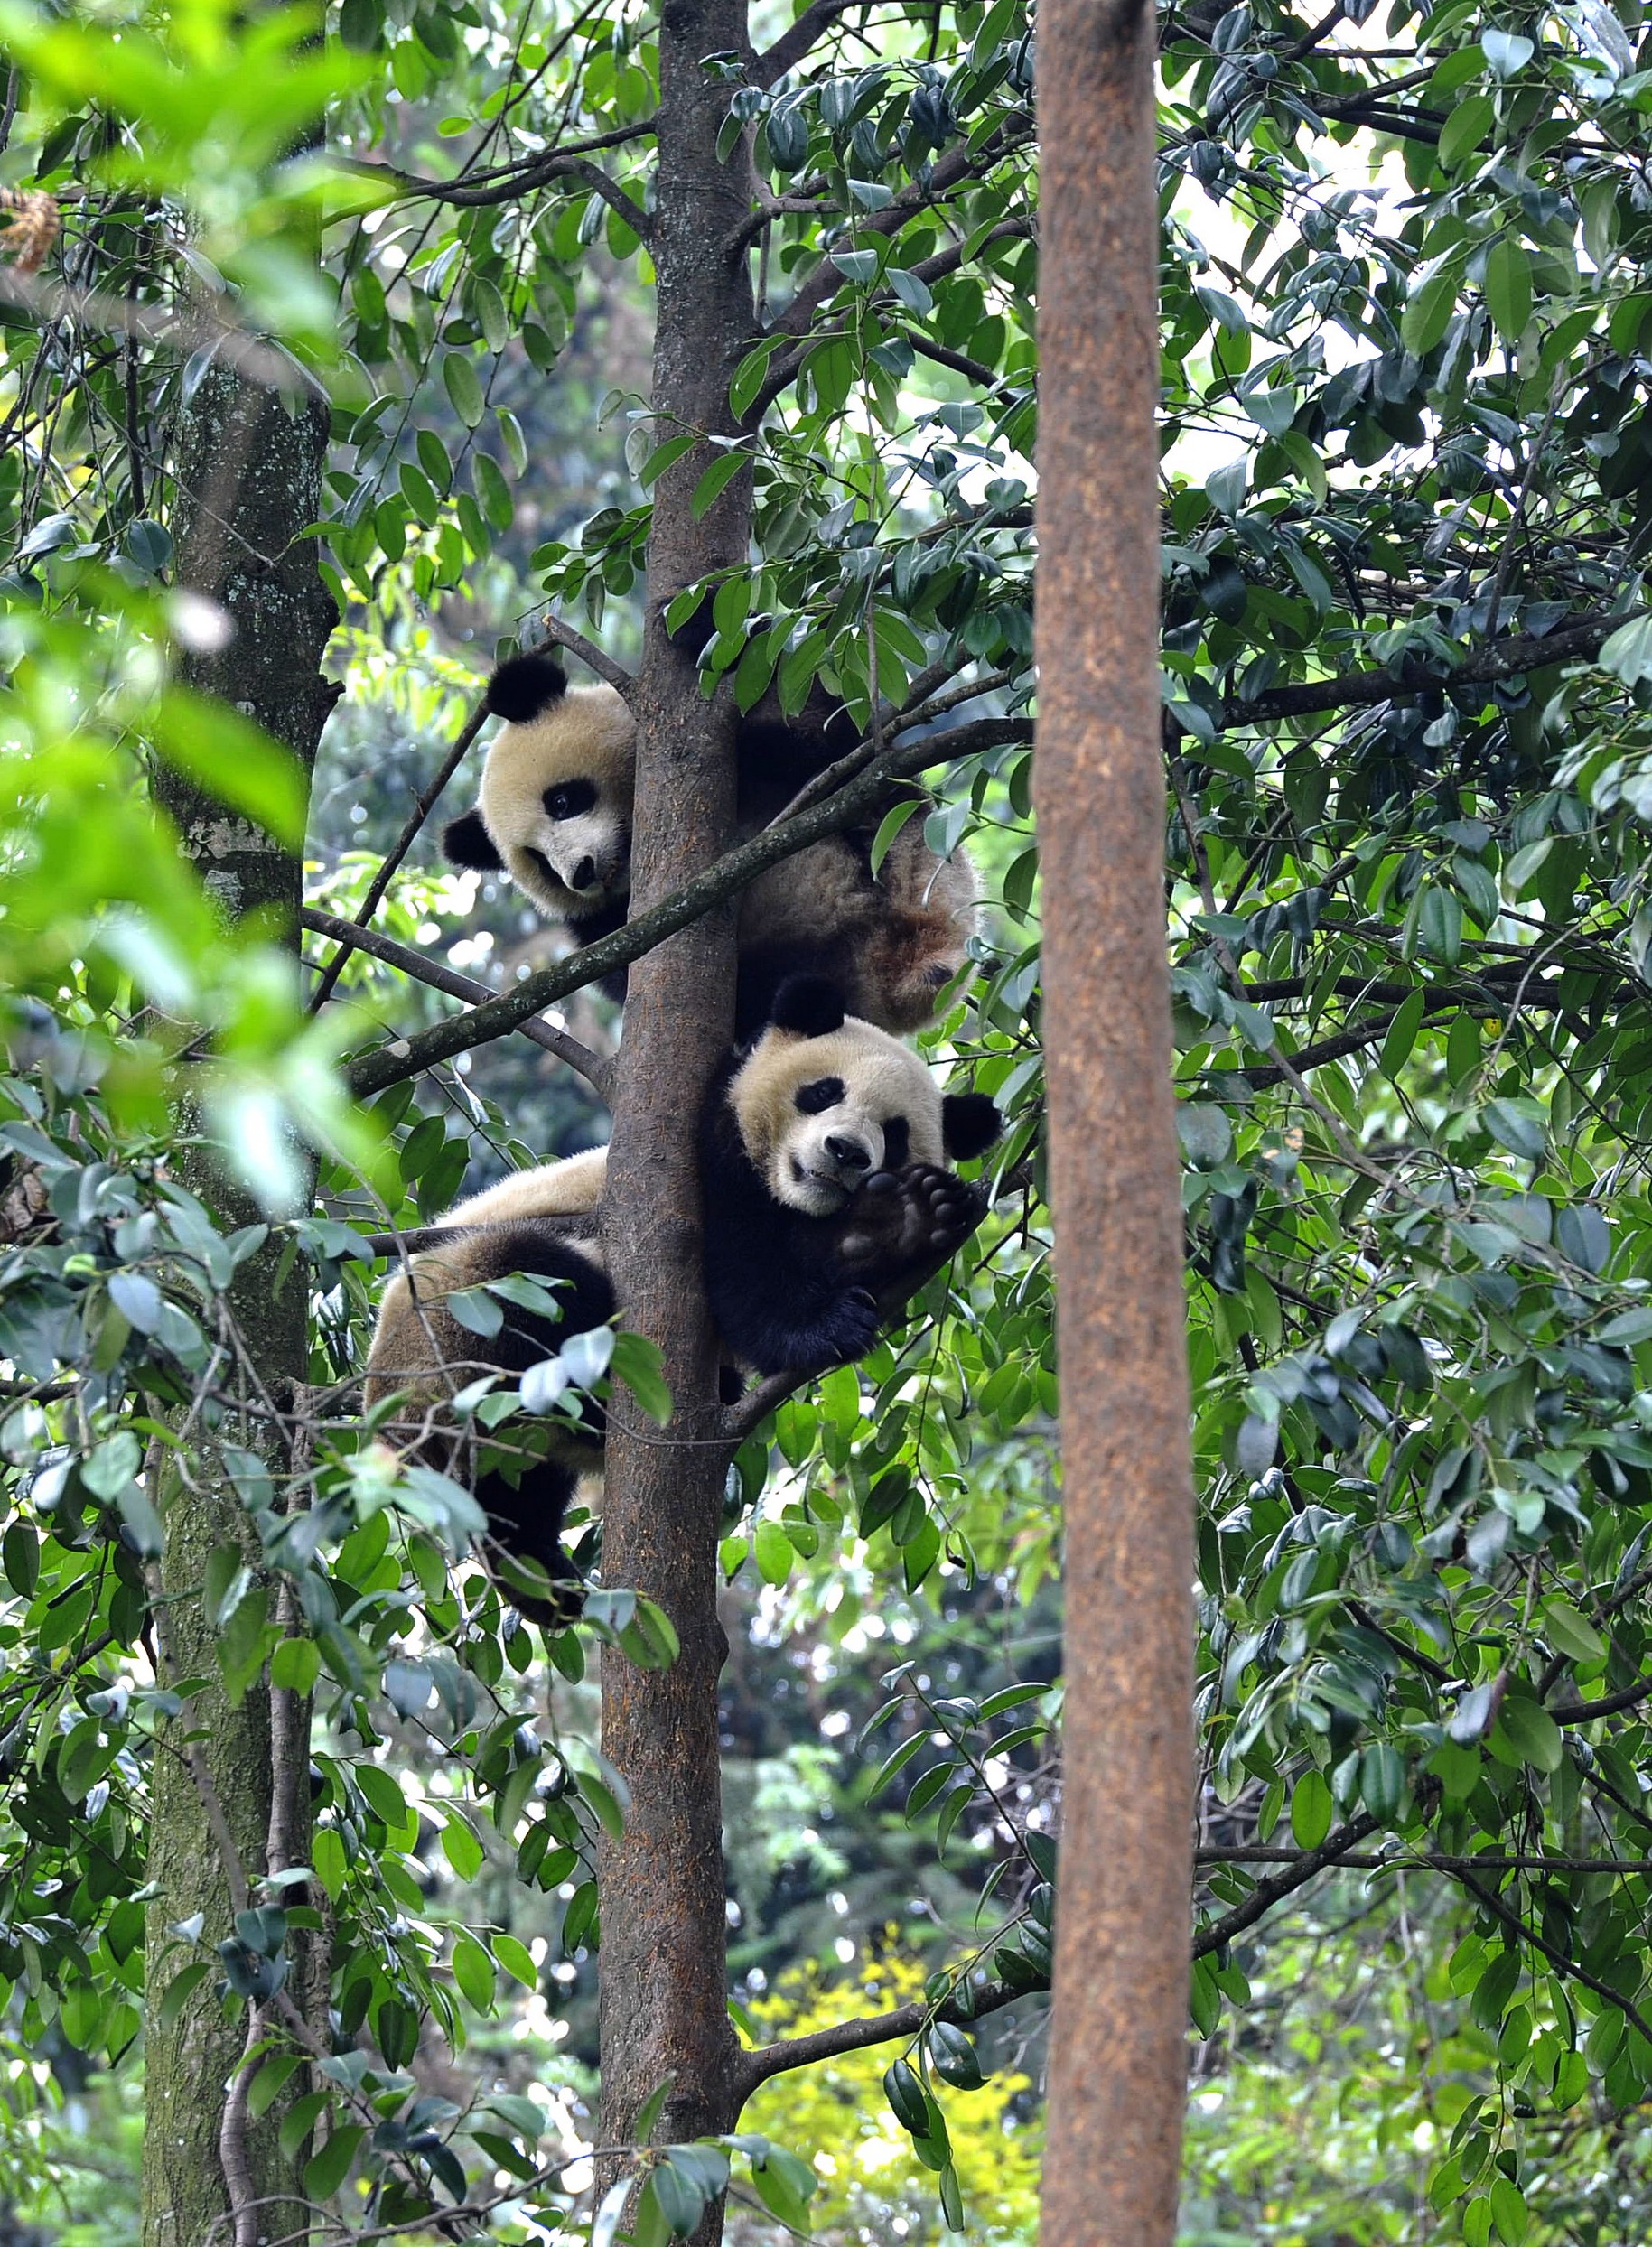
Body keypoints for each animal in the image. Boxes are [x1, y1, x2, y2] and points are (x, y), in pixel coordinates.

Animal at [361, 978, 1000, 1610]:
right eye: (823, 1092)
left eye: (895, 1135)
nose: (845, 1152)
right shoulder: (713, 1150)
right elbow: (743, 1276)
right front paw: (827, 1323)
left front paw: (904, 1219)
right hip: (456, 1310)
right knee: (543, 1287)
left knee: (513, 1496)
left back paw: (541, 1577)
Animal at [441, 650, 982, 1037]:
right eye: (539, 862)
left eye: (561, 800)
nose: (582, 874)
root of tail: (894, 971)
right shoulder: (600, 927)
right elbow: (619, 969)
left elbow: (816, 734)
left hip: (924, 862)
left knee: (891, 817)